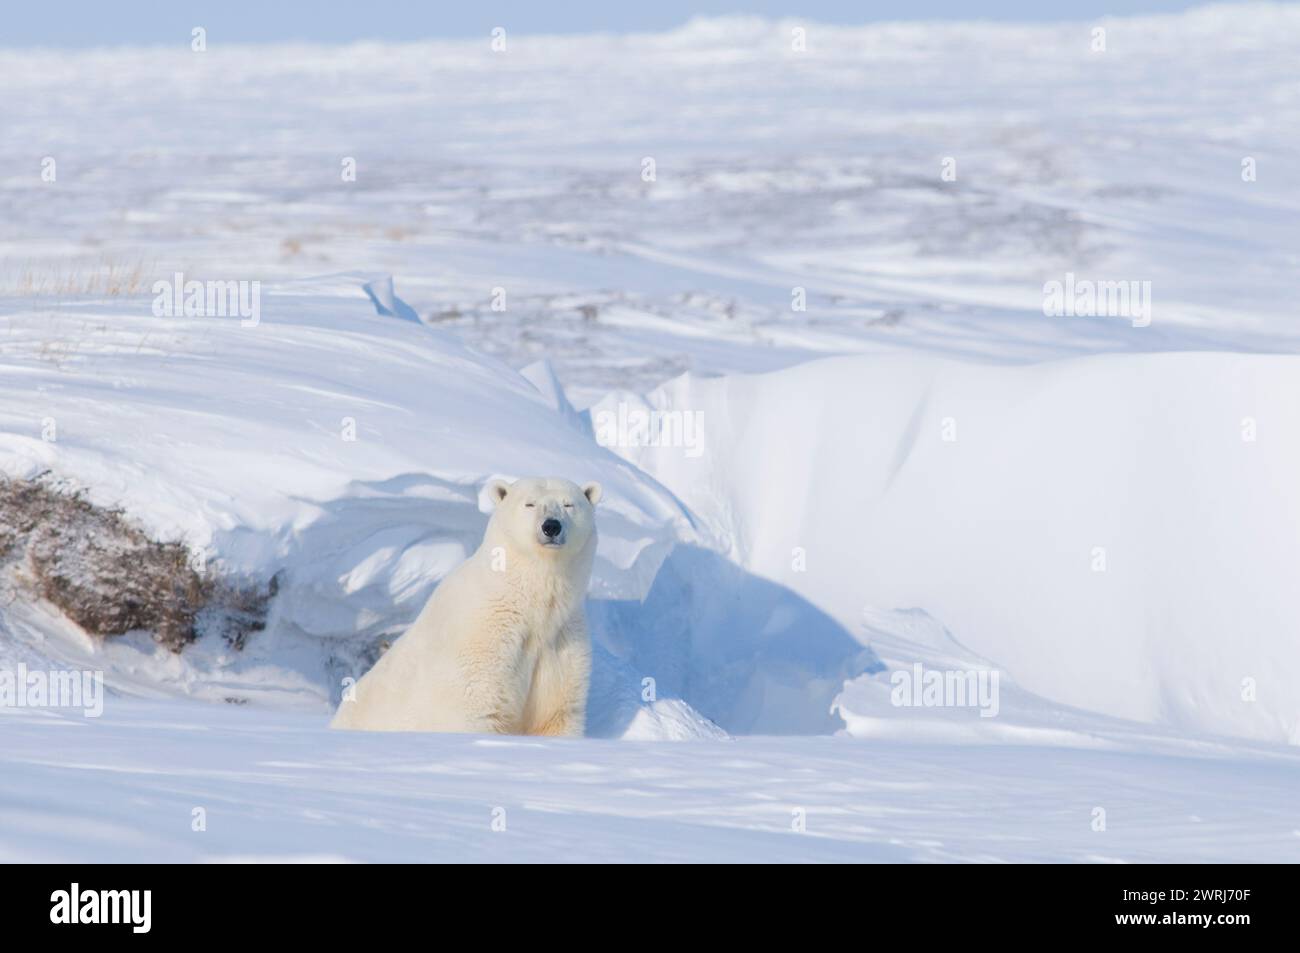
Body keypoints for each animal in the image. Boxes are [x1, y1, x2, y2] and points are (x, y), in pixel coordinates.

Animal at [330, 476, 601, 736]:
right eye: (530, 504)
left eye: (569, 504)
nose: (551, 526)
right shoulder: (482, 637)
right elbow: (477, 708)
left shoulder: (560, 643)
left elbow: (556, 716)